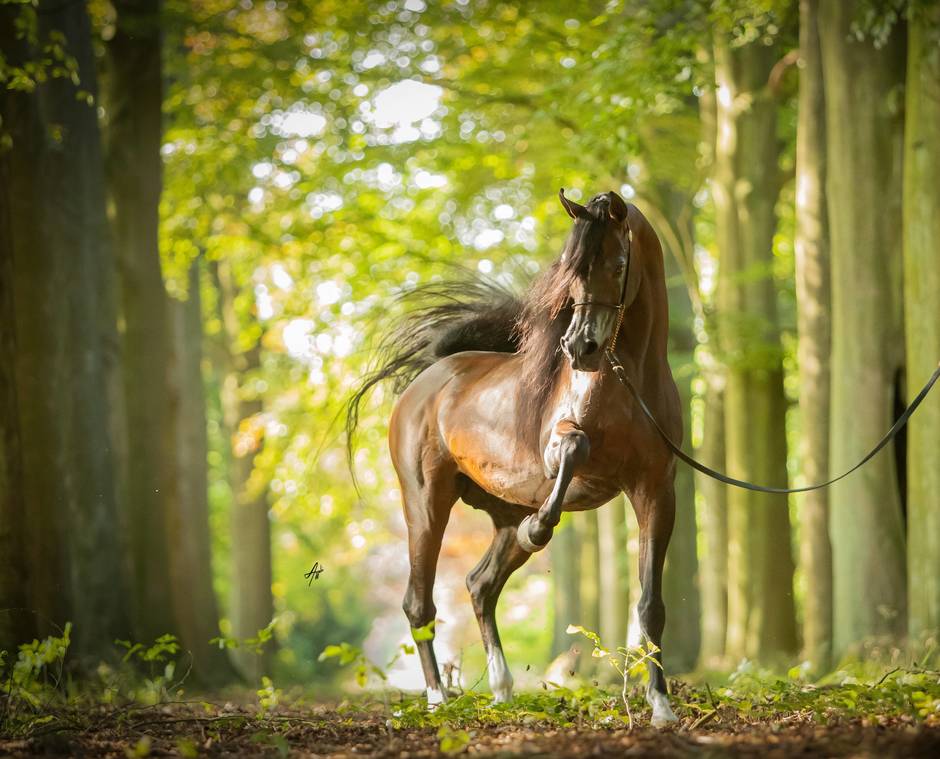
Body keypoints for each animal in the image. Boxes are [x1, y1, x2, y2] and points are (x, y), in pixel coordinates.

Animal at [346, 189, 682, 725]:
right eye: (570, 269)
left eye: (617, 264)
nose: (579, 347)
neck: (630, 382)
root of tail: (431, 378)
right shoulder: (558, 449)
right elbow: (574, 447)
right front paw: (539, 527)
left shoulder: (656, 491)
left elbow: (651, 606)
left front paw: (662, 707)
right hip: (425, 504)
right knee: (419, 605)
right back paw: (438, 699)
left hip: (501, 511)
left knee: (480, 586)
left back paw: (503, 690)